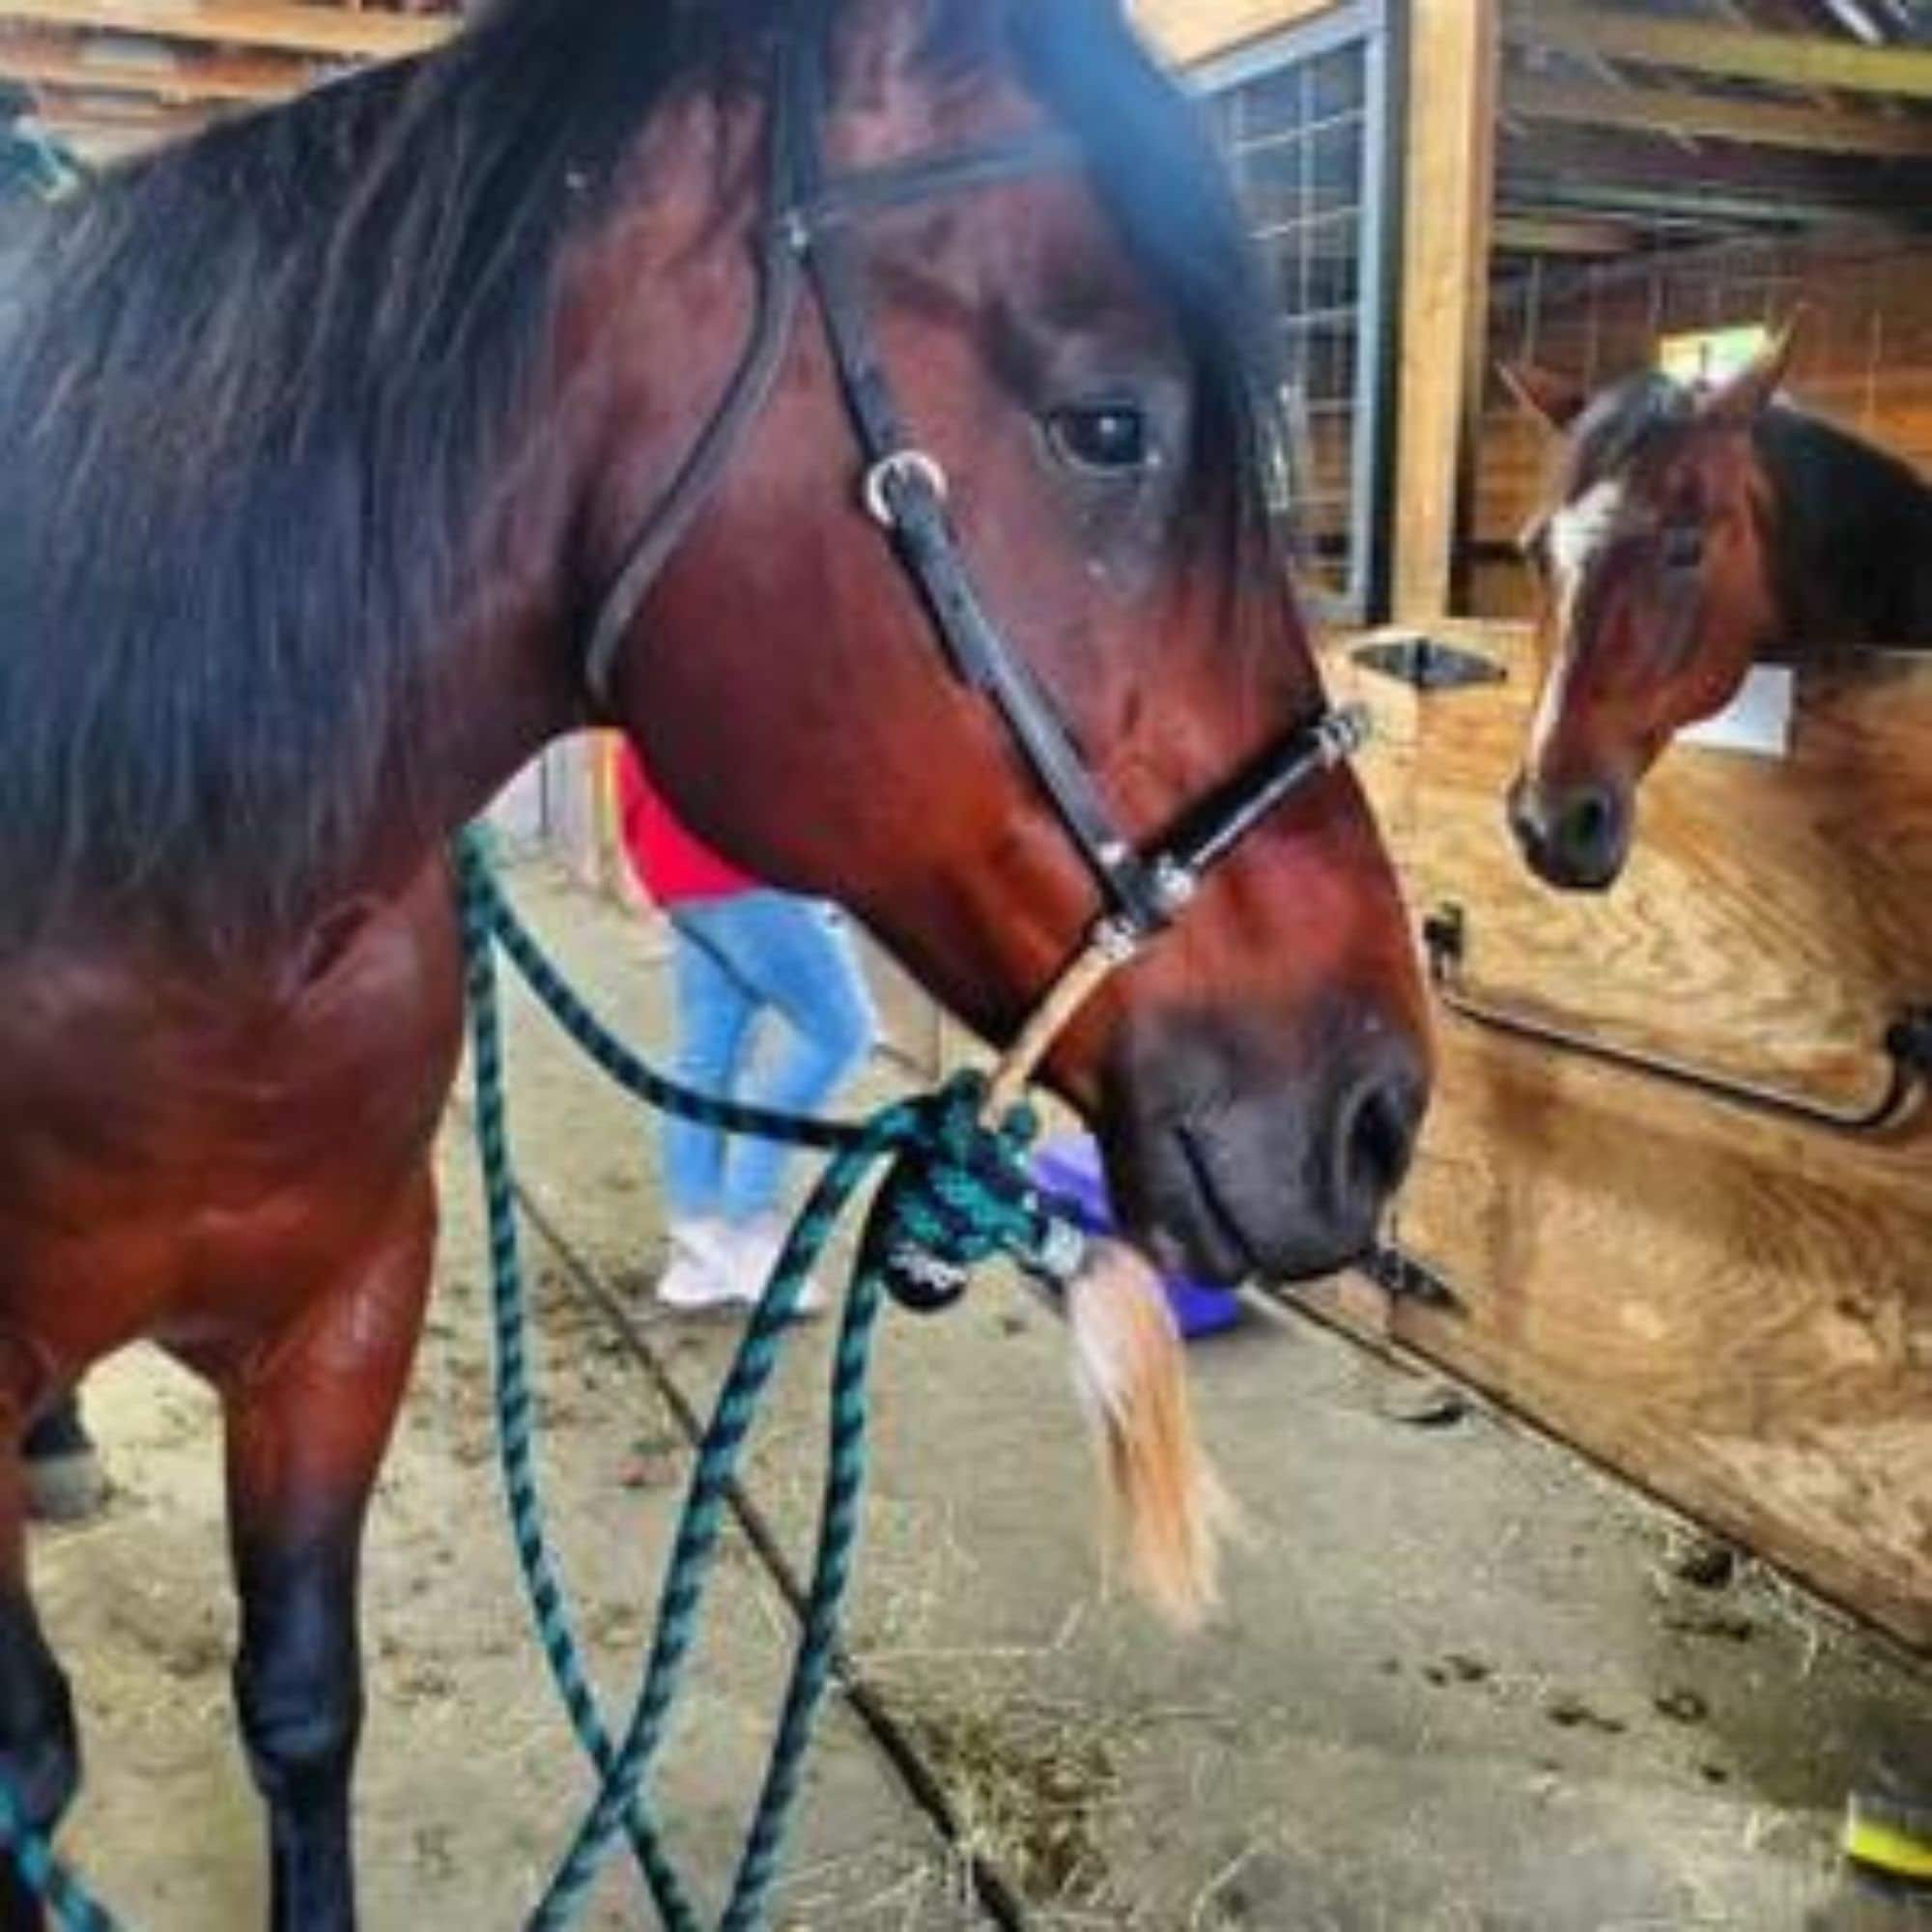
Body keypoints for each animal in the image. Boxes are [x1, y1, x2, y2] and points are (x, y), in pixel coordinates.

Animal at [0, 1, 1430, 1924]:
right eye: (1107, 425)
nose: (1381, 1102)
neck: (180, 935)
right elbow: (35, 1758)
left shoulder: (347, 1307)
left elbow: (301, 1704)